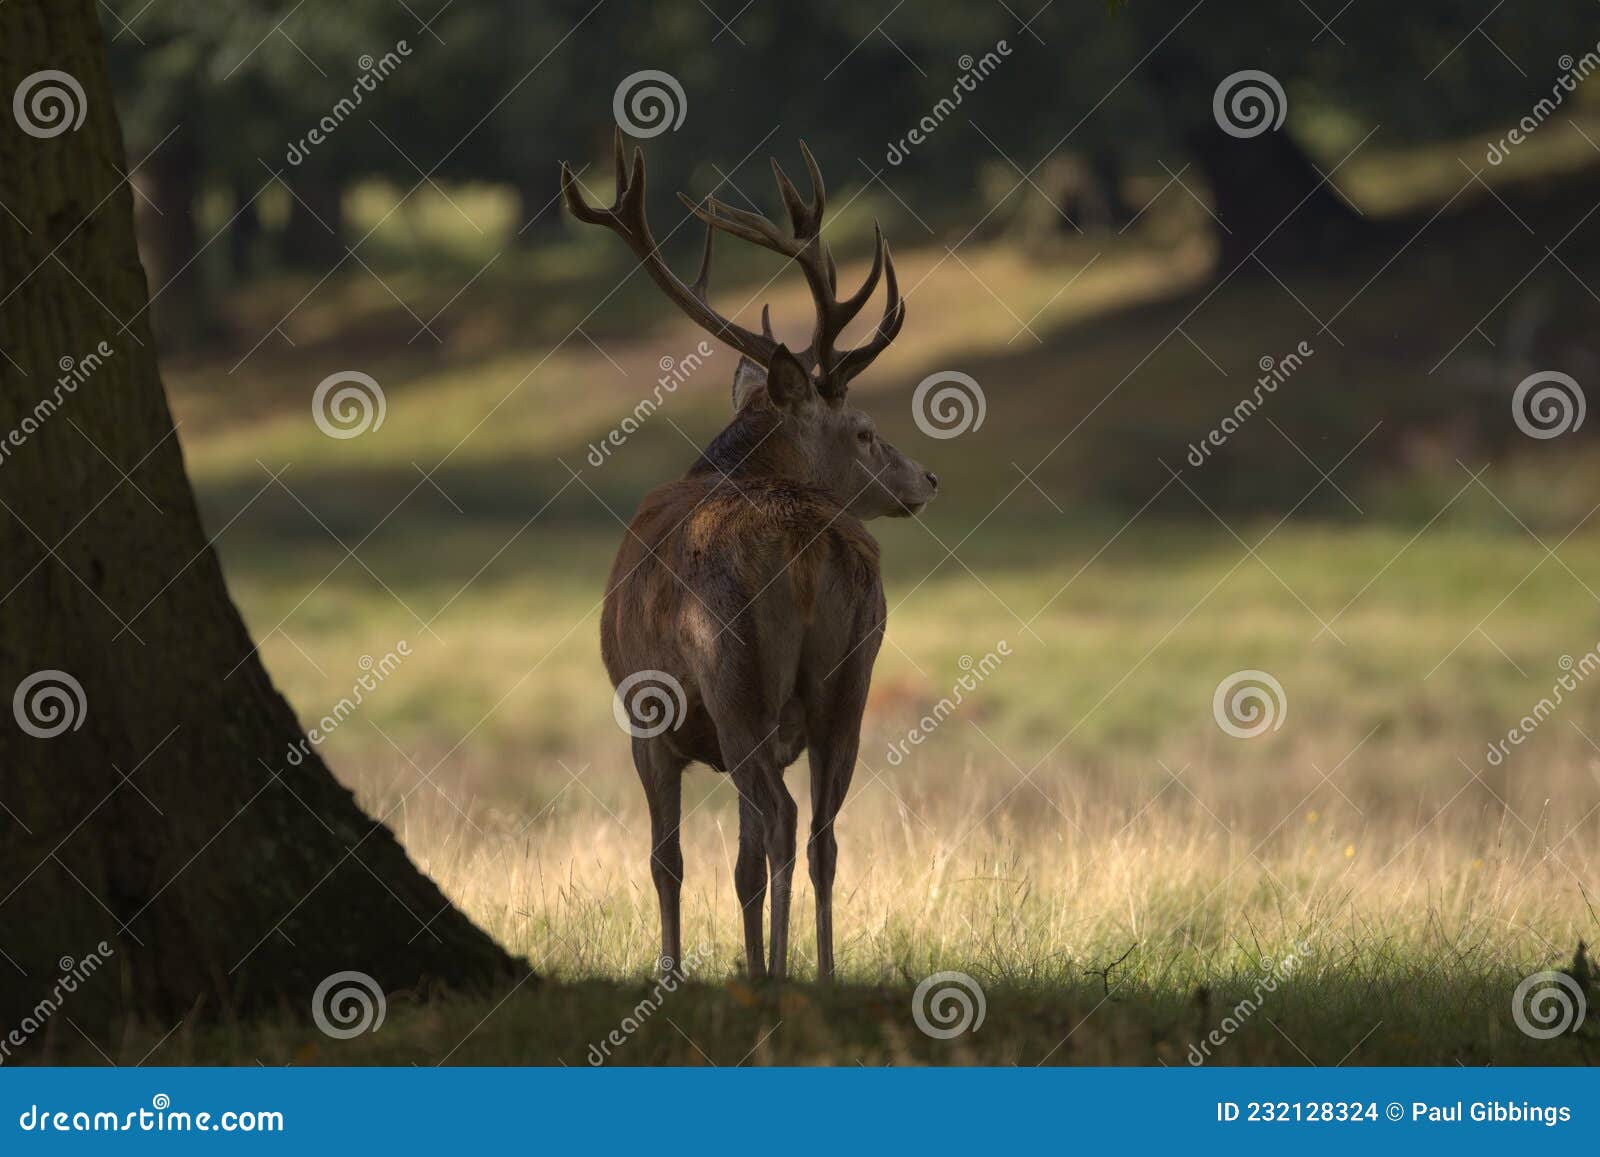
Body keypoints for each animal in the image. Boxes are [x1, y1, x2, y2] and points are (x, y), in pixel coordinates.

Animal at [562, 129, 938, 982]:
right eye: (866, 432)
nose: (927, 478)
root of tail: (809, 546)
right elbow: (738, 861)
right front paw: (752, 955)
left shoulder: (645, 720)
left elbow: (668, 860)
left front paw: (672, 969)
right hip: (849, 680)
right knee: (822, 827)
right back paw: (820, 972)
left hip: (733, 676)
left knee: (784, 818)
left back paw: (779, 974)